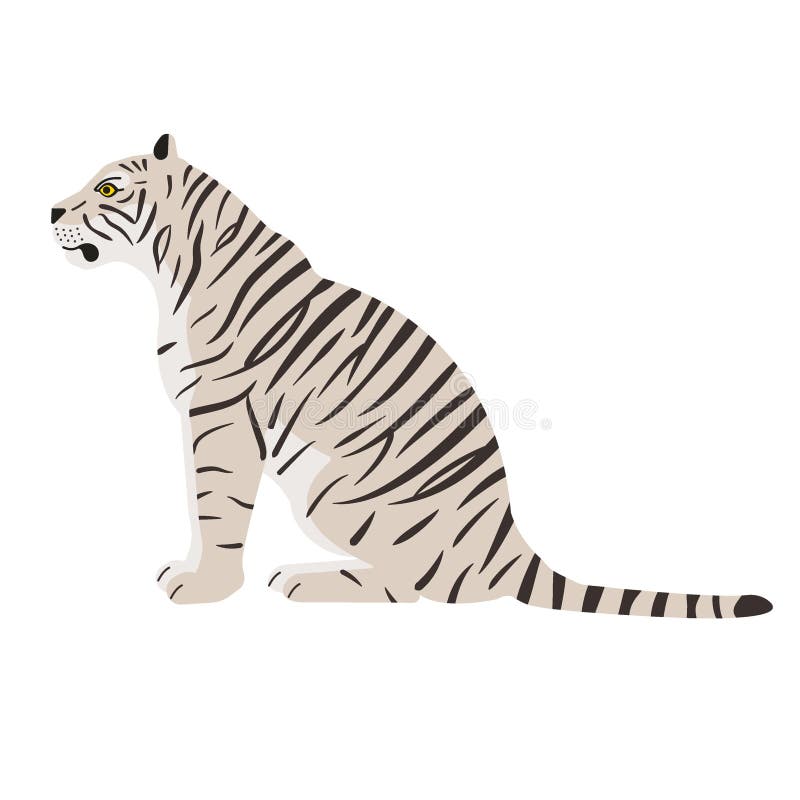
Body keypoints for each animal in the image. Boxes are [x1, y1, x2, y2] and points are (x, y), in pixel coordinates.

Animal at [51, 134, 772, 618]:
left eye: (108, 189)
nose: (52, 212)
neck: (168, 271)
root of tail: (510, 542)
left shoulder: (222, 417)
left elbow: (216, 505)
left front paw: (204, 590)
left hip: (333, 489)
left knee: (420, 588)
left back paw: (306, 581)